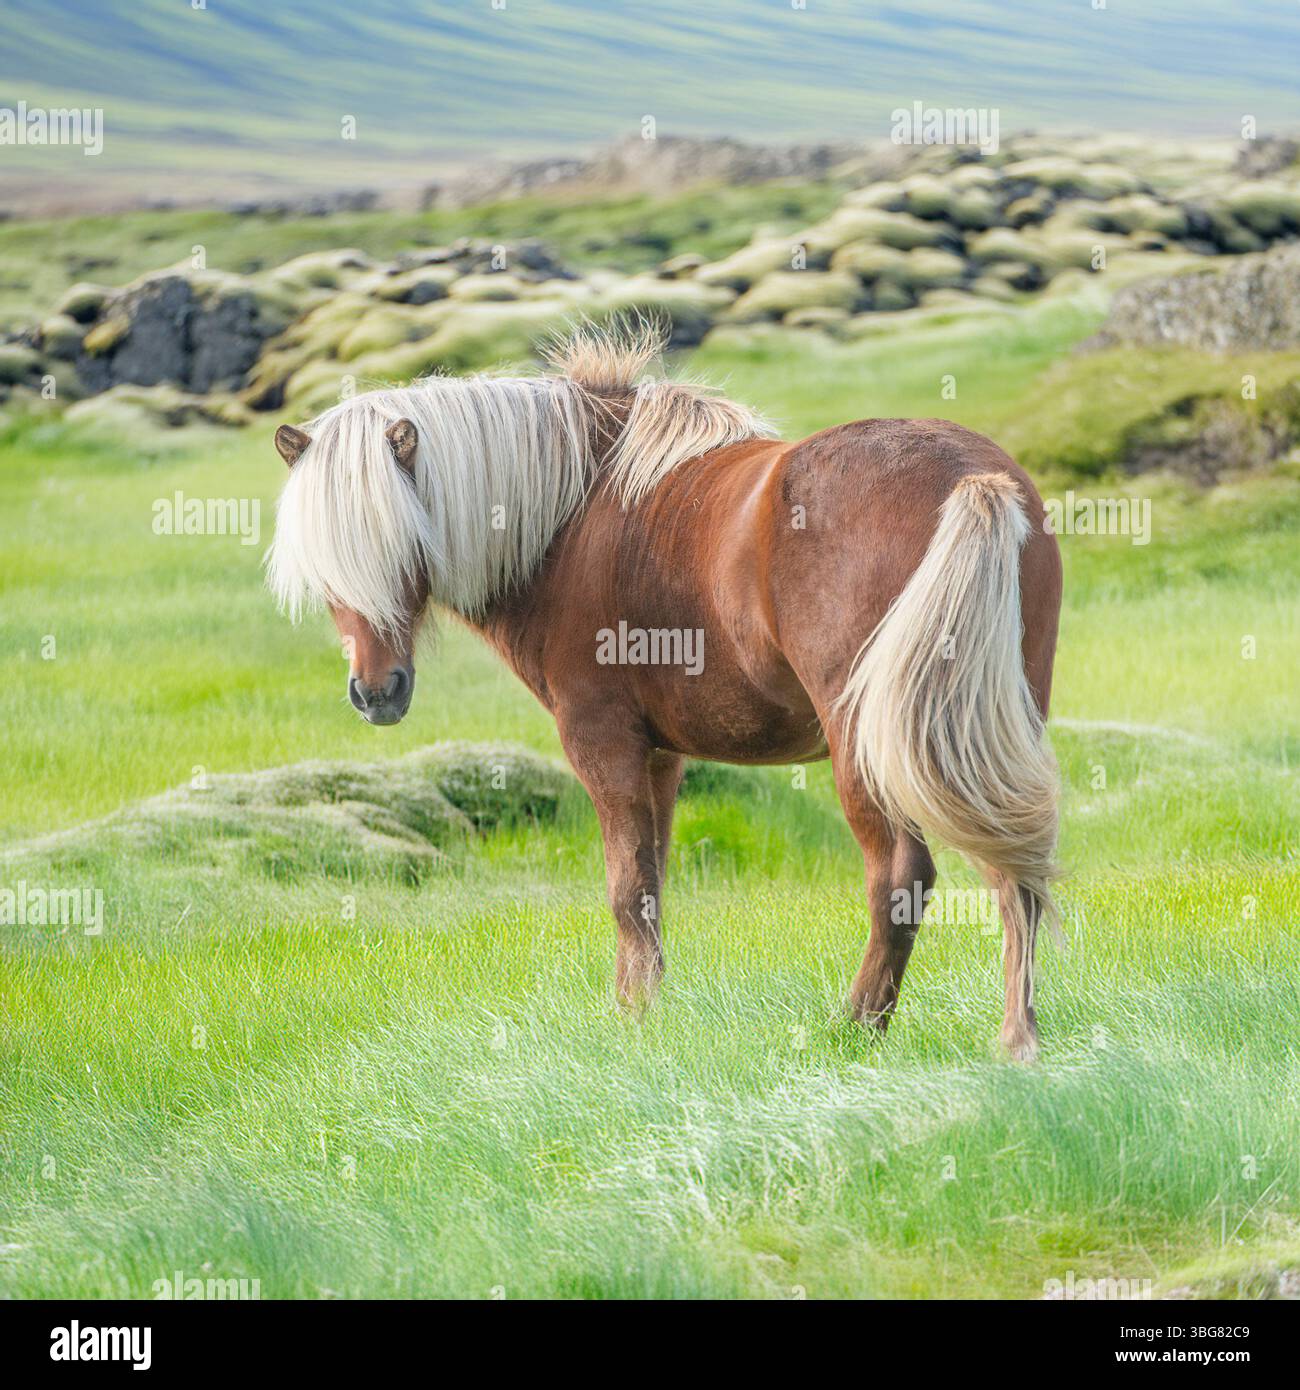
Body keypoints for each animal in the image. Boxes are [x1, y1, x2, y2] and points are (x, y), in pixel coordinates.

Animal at [267, 325, 1062, 1059]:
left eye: (403, 540)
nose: (376, 693)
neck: (574, 514)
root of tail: (971, 479)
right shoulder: (661, 756)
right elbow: (652, 881)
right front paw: (643, 1008)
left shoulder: (603, 741)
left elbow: (626, 888)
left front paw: (631, 1023)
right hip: (988, 733)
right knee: (1015, 869)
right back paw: (1017, 1038)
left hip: (868, 745)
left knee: (901, 876)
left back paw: (857, 1028)